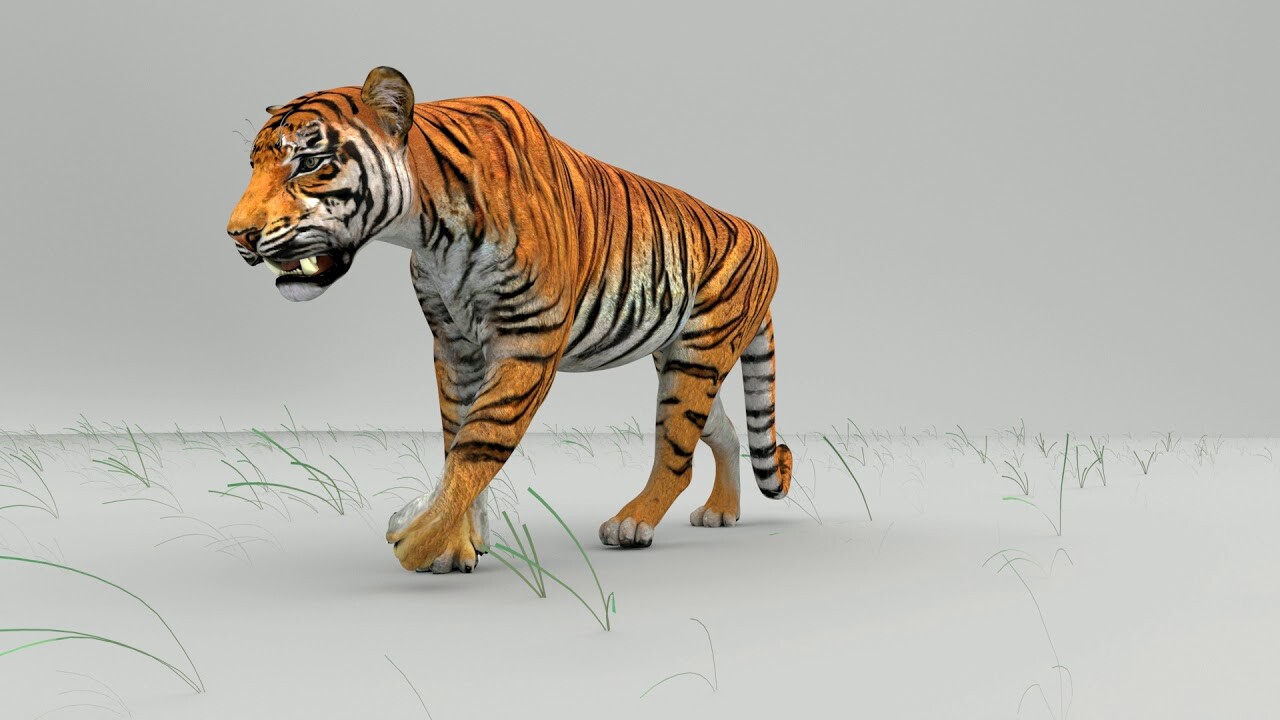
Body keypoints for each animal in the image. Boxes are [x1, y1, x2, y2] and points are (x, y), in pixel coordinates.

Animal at [226, 66, 793, 573]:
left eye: (308, 163)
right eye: (252, 165)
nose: (238, 236)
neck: (427, 231)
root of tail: (760, 235)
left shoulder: (527, 340)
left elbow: (479, 443)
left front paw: (419, 541)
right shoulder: (454, 346)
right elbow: (455, 437)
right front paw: (460, 544)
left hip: (697, 357)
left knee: (676, 457)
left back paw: (631, 524)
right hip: (681, 361)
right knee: (724, 433)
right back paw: (721, 511)